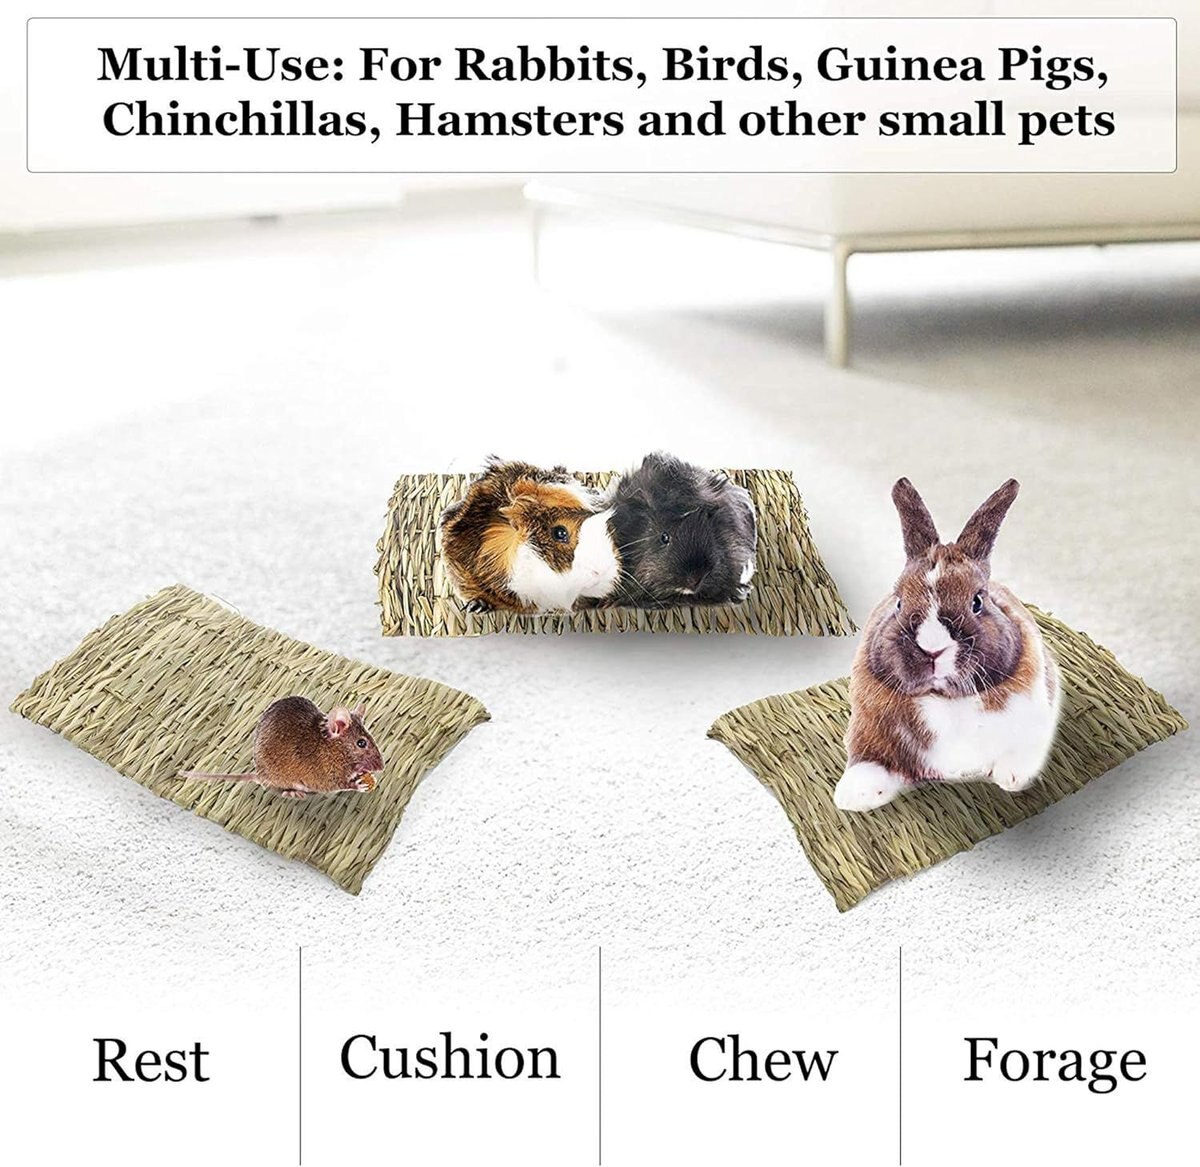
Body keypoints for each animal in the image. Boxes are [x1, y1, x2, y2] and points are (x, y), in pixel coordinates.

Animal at [834, 477, 1062, 812]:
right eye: (899, 602)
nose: (932, 649)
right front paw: (853, 796)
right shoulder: (866, 731)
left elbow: (1022, 752)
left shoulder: (1035, 722)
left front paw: (1012, 777)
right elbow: (866, 761)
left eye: (977, 601)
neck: (944, 700)